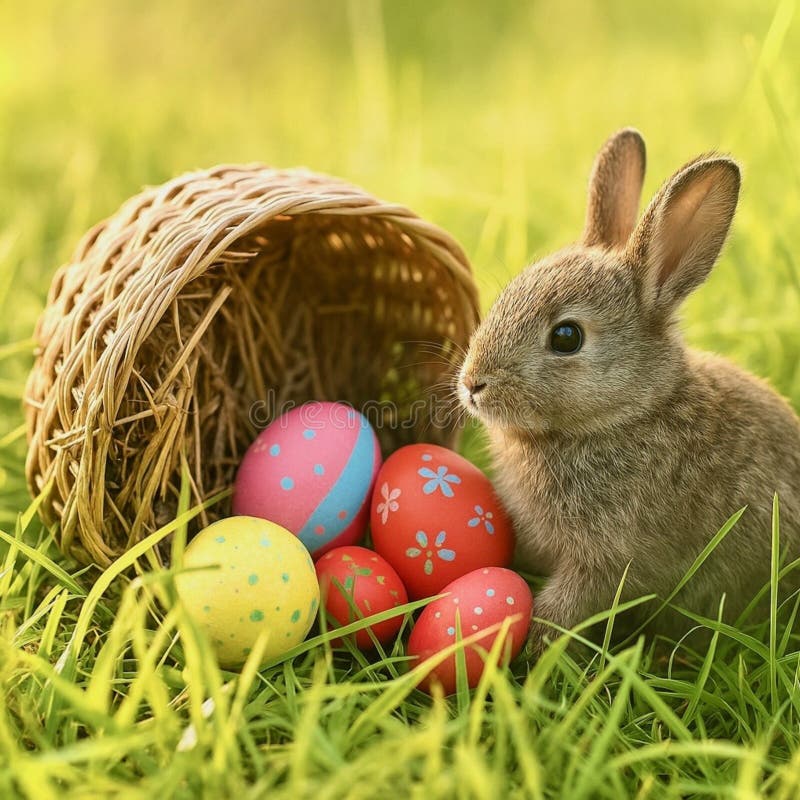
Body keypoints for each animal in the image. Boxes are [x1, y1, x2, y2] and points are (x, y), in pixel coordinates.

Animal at [457, 128, 800, 657]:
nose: (473, 383)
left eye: (567, 337)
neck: (628, 412)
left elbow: (568, 604)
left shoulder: (605, 559)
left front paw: (537, 650)